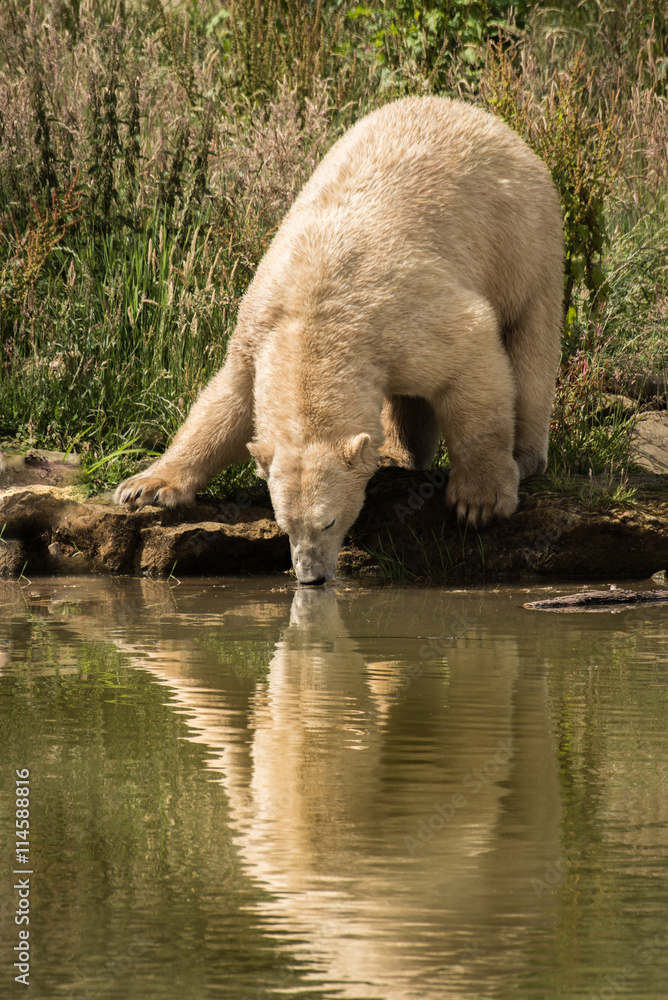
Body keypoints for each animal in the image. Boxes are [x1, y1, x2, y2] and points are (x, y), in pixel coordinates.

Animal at [115, 96, 564, 585]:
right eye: (283, 524)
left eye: (329, 521)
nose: (311, 576)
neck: (316, 314)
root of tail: (476, 113)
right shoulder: (260, 328)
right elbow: (226, 404)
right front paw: (145, 487)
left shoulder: (407, 315)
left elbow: (473, 355)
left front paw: (480, 500)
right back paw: (397, 455)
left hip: (523, 241)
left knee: (530, 343)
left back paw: (525, 456)